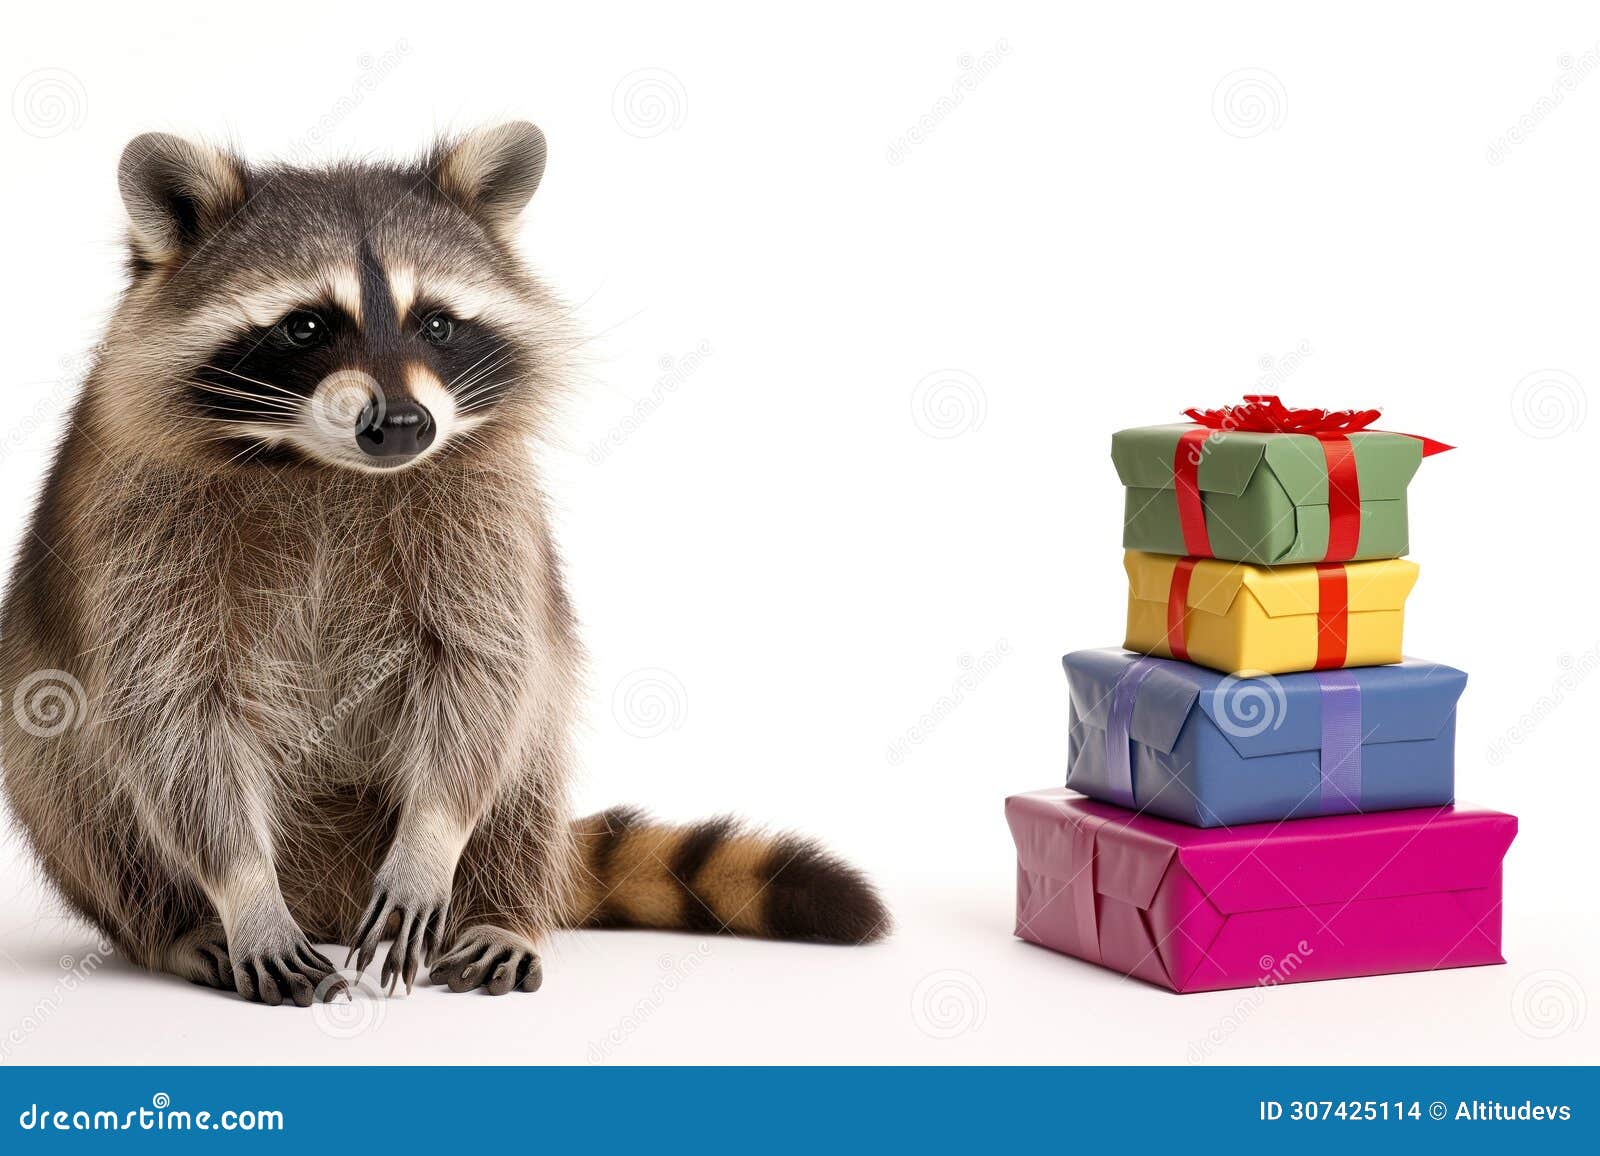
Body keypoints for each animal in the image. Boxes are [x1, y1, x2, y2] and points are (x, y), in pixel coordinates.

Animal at [0, 123, 887, 1006]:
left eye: (435, 324)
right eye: (305, 327)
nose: (401, 423)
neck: (323, 466)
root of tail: (329, 893)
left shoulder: (481, 507)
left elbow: (480, 671)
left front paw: (431, 839)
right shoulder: (144, 525)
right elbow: (173, 712)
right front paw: (245, 890)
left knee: (526, 767)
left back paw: (503, 909)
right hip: (54, 773)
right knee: (85, 805)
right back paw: (180, 928)